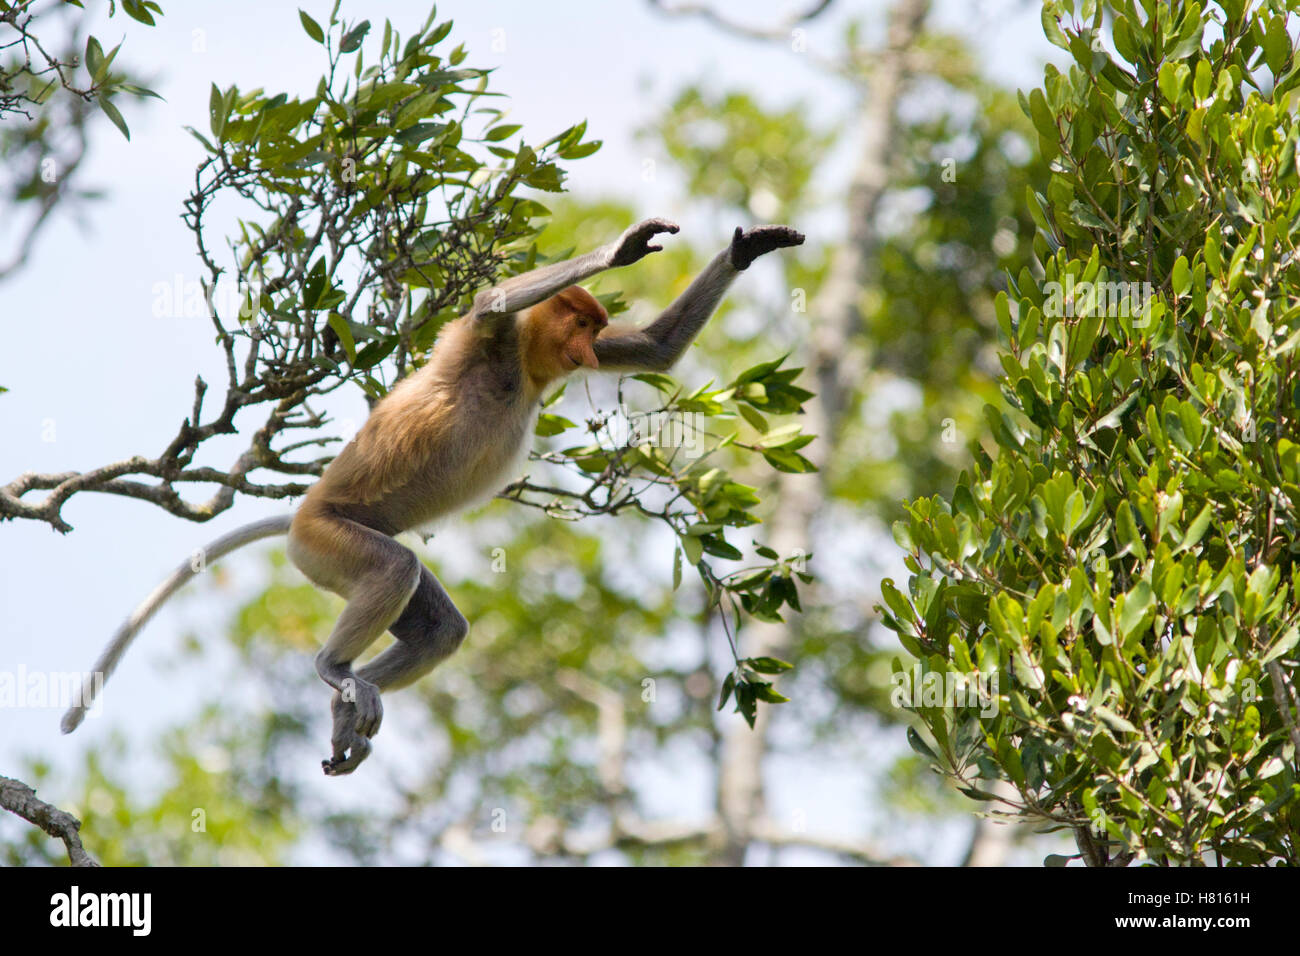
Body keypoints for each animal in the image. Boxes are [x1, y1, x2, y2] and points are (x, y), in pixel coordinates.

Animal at [61, 218, 805, 775]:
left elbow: (653, 348)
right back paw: (334, 672)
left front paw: (749, 247)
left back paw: (346, 714)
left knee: (439, 626)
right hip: (328, 542)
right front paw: (620, 249)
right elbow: (493, 301)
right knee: (395, 567)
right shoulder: (492, 339)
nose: (592, 354)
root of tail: (299, 515)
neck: (522, 370)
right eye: (583, 325)